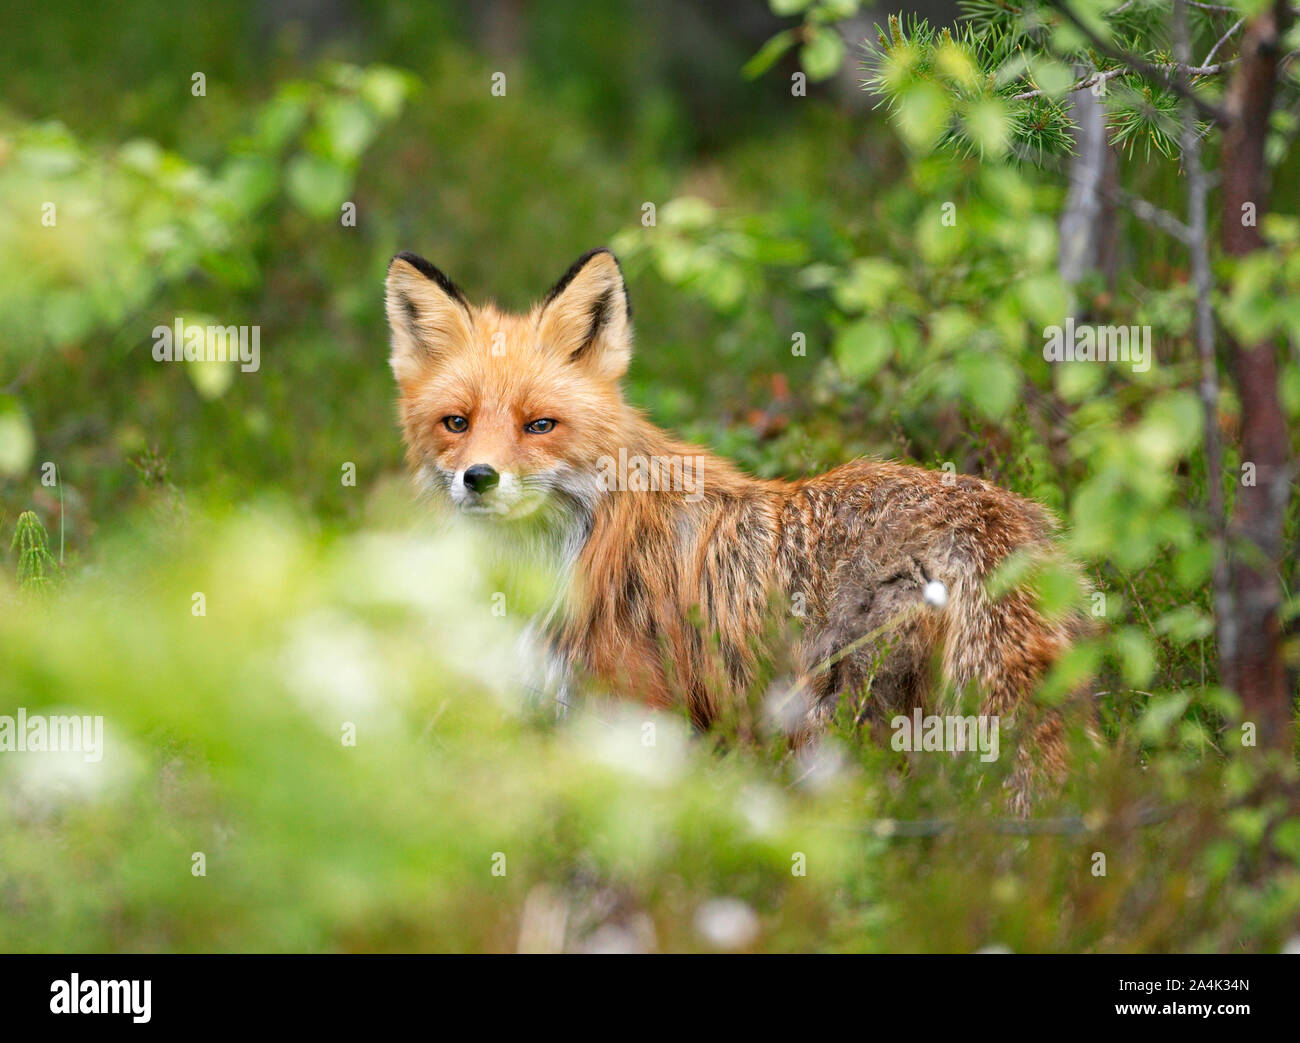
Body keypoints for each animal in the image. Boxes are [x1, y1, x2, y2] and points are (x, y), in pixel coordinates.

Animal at [385, 247, 1090, 808]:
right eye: (456, 423)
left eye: (539, 426)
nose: (478, 478)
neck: (568, 543)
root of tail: (989, 516)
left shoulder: (636, 711)